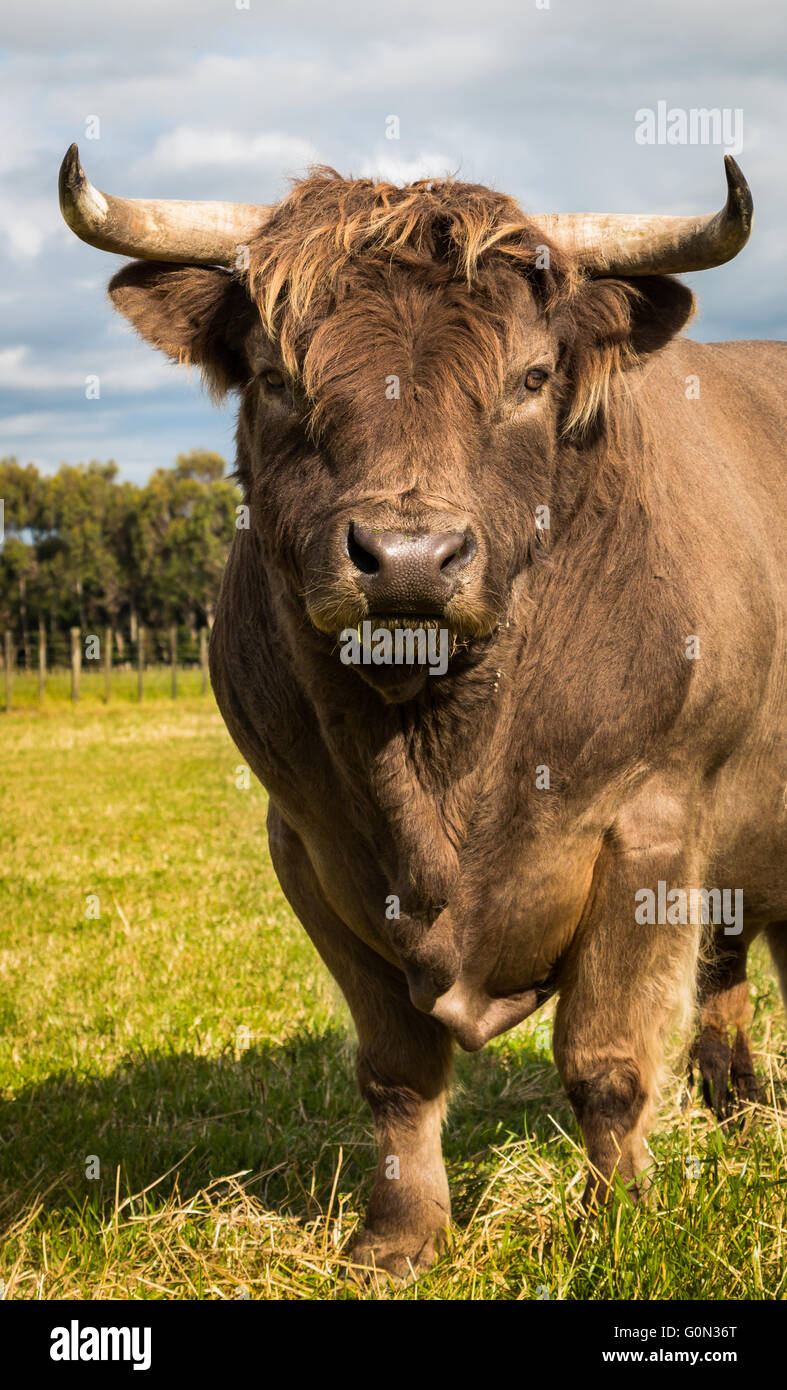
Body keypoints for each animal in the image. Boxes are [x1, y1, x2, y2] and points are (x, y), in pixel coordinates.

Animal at [60, 145, 787, 1280]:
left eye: (530, 380)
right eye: (277, 376)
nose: (406, 558)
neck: (435, 748)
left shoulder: (649, 826)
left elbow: (606, 1060)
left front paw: (614, 1223)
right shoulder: (310, 844)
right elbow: (396, 1069)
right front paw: (398, 1237)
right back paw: (742, 1117)